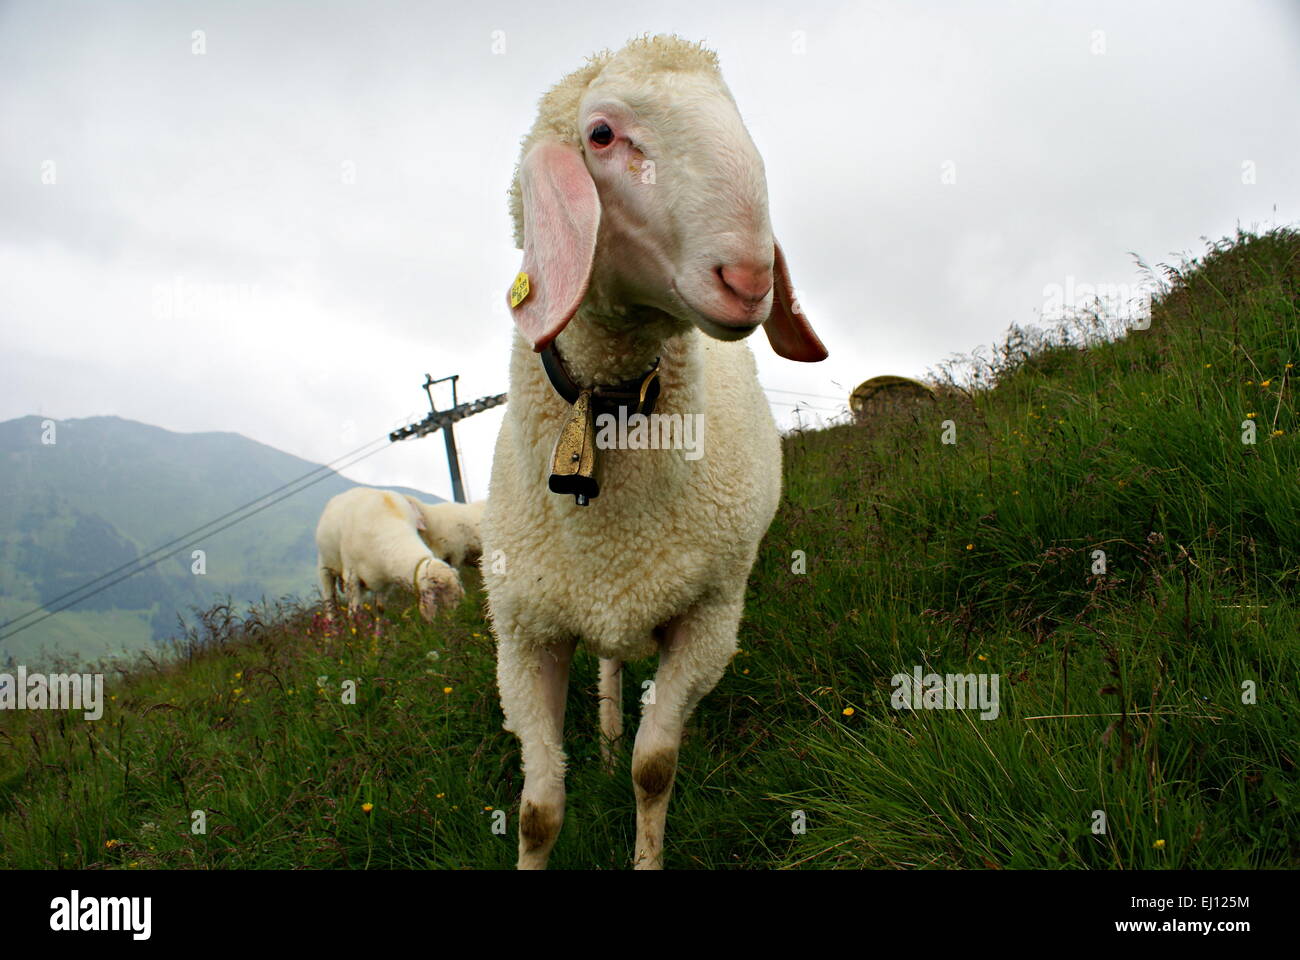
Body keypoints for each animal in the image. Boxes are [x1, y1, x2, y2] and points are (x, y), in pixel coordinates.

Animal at [316, 486, 464, 621]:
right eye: (441, 590)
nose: (452, 619)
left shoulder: (384, 584)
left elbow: (380, 611)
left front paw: (379, 634)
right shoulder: (351, 578)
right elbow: (354, 612)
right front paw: (356, 632)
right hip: (325, 567)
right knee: (330, 603)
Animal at [481, 34, 827, 869]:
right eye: (602, 135)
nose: (750, 280)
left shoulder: (711, 618)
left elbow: (655, 768)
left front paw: (644, 844)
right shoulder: (522, 637)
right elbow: (538, 809)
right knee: (608, 667)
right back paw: (604, 738)